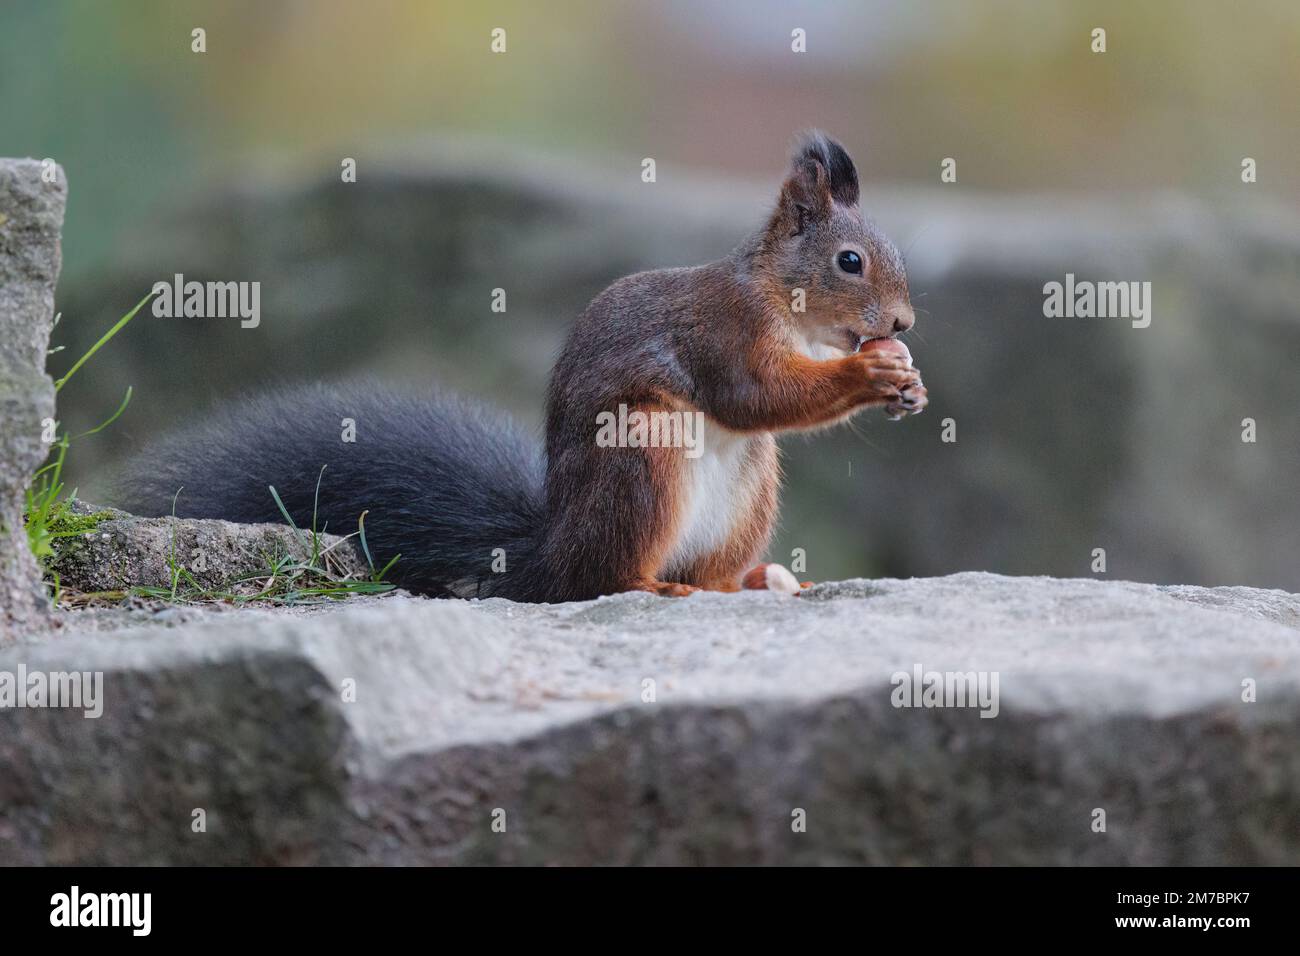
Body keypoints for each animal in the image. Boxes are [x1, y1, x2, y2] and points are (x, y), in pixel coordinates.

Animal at [117, 131, 926, 602]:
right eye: (849, 262)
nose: (902, 324)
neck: (785, 302)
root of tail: (551, 555)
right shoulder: (725, 334)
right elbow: (757, 395)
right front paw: (871, 376)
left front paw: (908, 382)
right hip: (642, 451)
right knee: (603, 580)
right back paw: (653, 586)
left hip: (749, 486)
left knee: (702, 566)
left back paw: (752, 580)